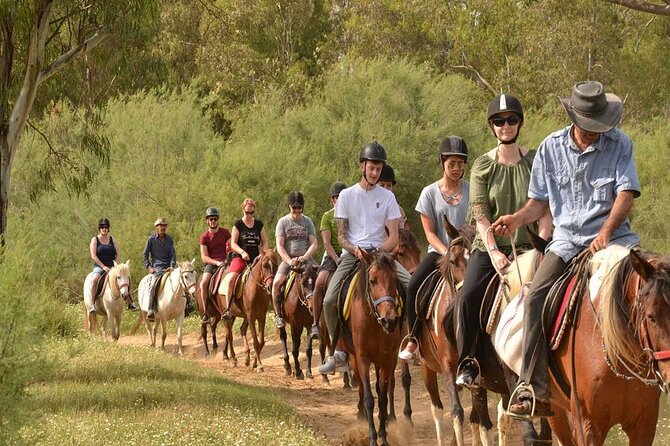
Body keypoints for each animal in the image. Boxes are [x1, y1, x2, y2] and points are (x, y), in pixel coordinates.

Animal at [341, 250, 402, 446]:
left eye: (395, 279)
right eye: (373, 280)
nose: (389, 320)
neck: (374, 322)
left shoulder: (388, 359)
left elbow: (382, 398)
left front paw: (384, 436)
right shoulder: (363, 358)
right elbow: (369, 398)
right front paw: (372, 438)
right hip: (354, 356)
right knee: (361, 386)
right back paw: (361, 415)